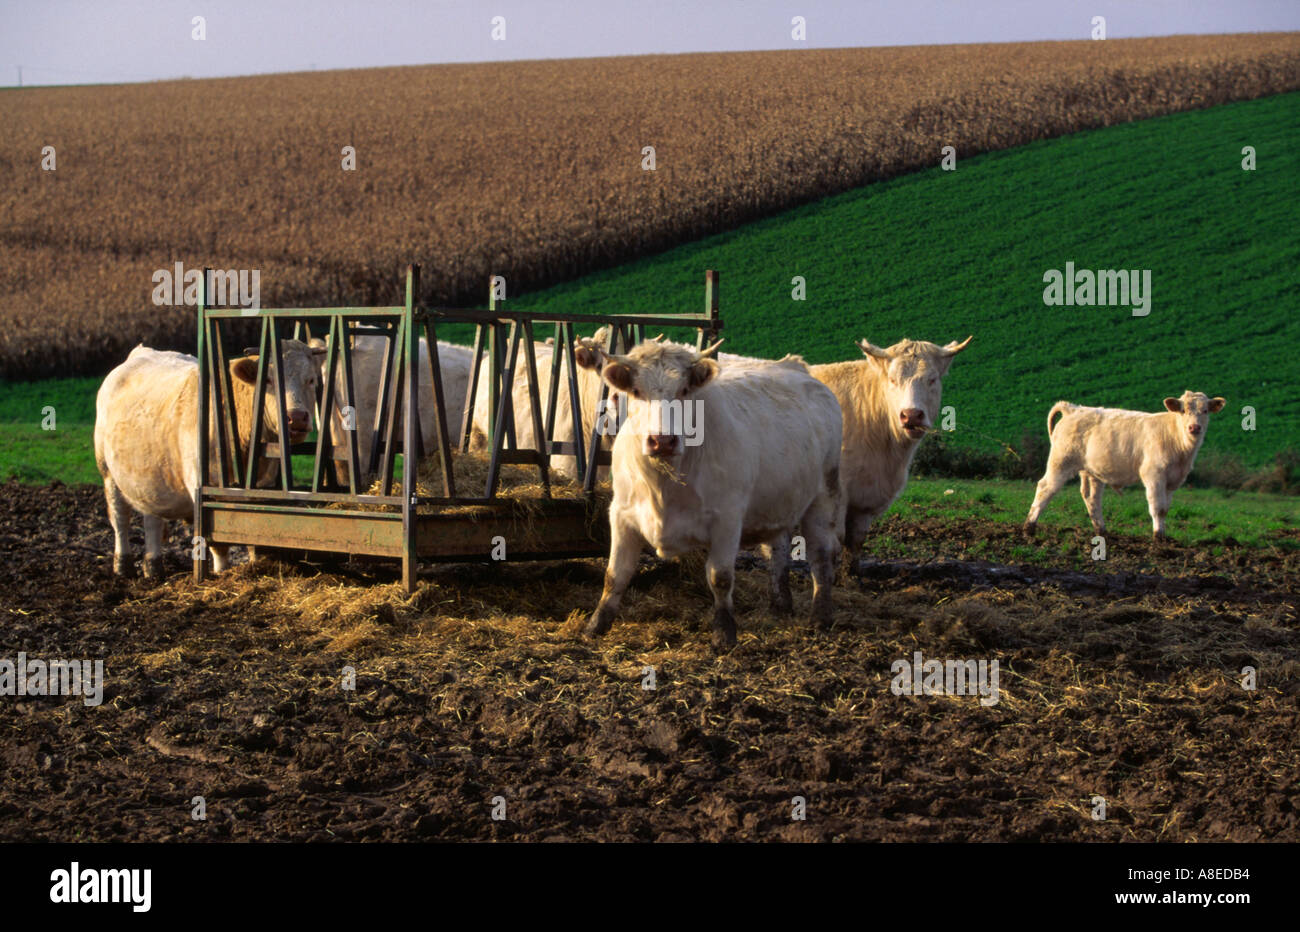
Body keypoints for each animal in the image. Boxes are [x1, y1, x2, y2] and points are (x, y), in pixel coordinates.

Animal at [94, 341, 324, 578]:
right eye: (268, 380)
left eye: (311, 380)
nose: (296, 417)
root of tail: (141, 351)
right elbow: (218, 543)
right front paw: (221, 573)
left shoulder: (265, 485)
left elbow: (256, 533)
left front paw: (256, 565)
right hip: (107, 472)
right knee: (119, 518)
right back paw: (123, 565)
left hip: (150, 478)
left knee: (152, 520)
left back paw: (153, 566)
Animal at [576, 339, 842, 649]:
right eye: (637, 392)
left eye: (683, 391)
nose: (662, 441)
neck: (664, 486)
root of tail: (796, 368)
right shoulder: (621, 514)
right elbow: (615, 574)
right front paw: (595, 625)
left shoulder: (727, 520)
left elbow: (720, 578)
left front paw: (724, 632)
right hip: (778, 501)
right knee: (778, 549)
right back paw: (780, 605)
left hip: (824, 494)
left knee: (820, 555)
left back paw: (821, 616)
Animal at [1024, 391, 1226, 540]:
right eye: (1183, 410)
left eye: (1205, 411)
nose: (1194, 427)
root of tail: (1074, 409)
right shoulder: (1153, 475)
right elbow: (1157, 508)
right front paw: (1158, 537)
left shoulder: (1173, 480)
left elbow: (1165, 509)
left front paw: (1163, 535)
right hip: (1060, 461)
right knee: (1045, 488)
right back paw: (1029, 527)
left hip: (1091, 470)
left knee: (1091, 497)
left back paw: (1102, 531)